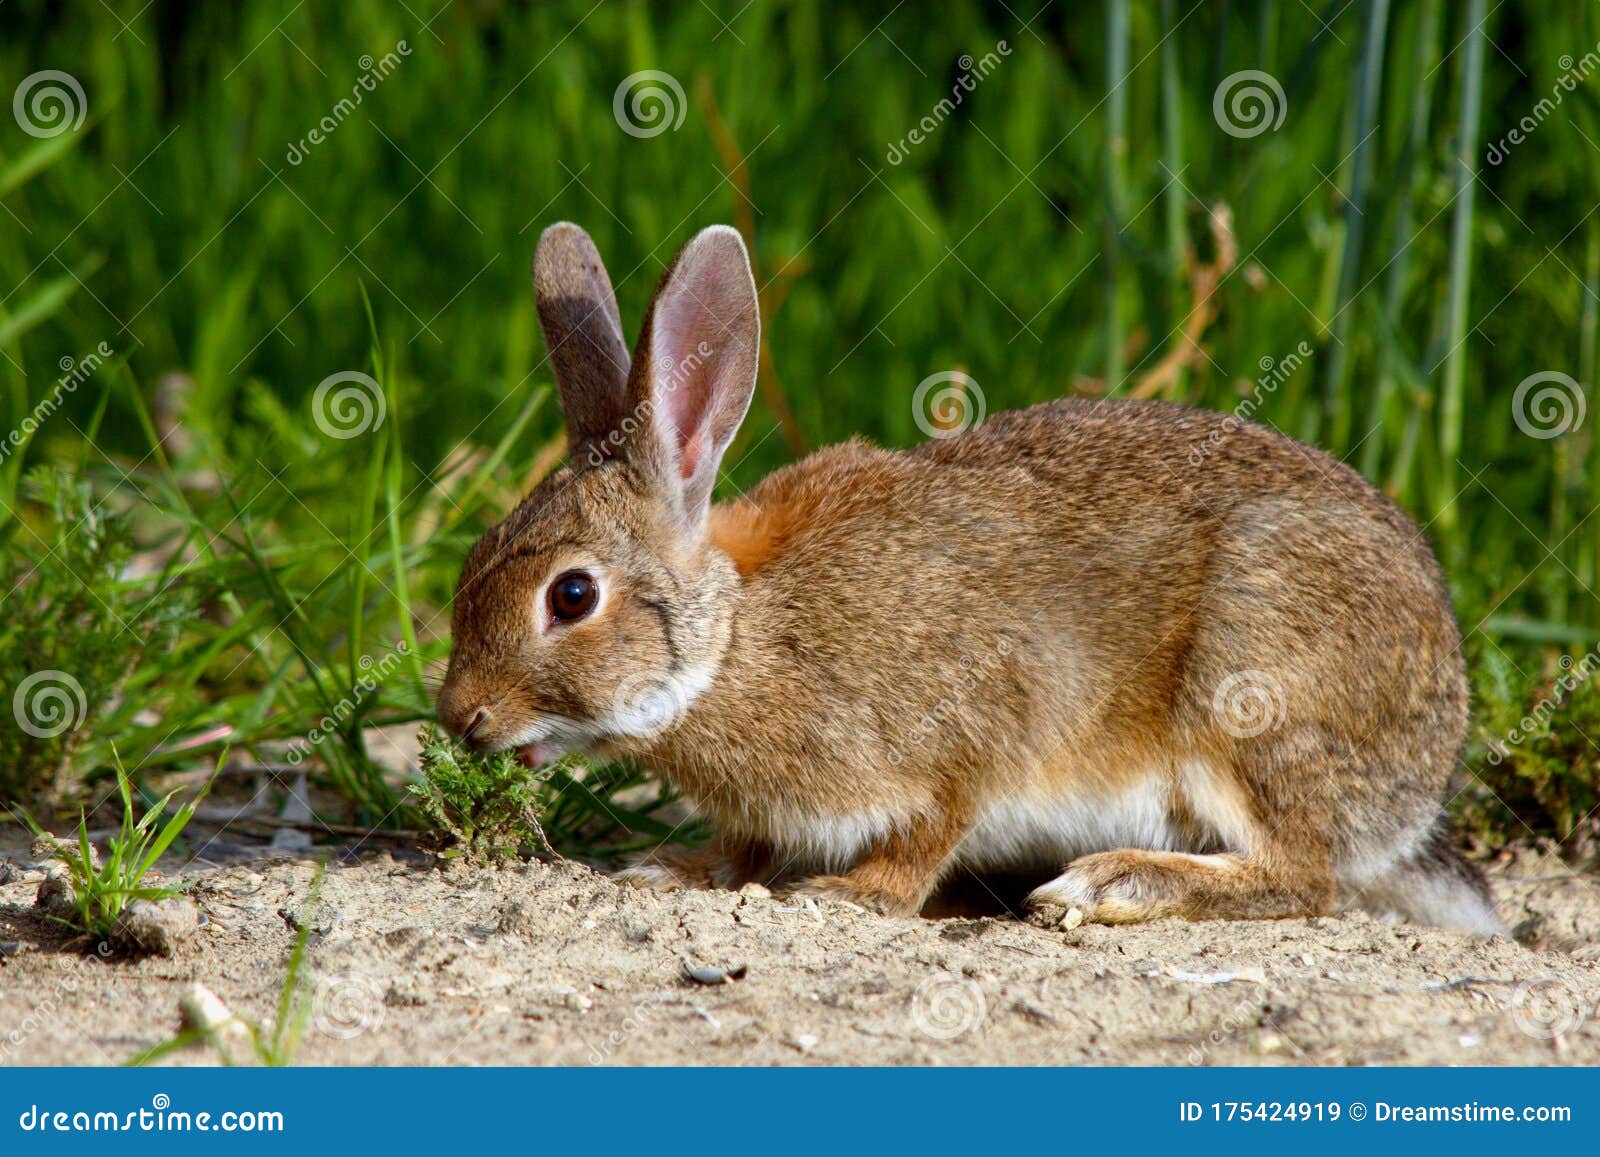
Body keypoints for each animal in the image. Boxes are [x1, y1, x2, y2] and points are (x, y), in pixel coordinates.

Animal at [436, 221, 1502, 934]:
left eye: (572, 595)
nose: (460, 718)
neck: (733, 638)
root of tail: (1428, 757)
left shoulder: (971, 727)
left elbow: (929, 829)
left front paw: (848, 893)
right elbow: (745, 844)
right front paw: (675, 868)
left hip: (1250, 690)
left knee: (1304, 876)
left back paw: (1110, 884)